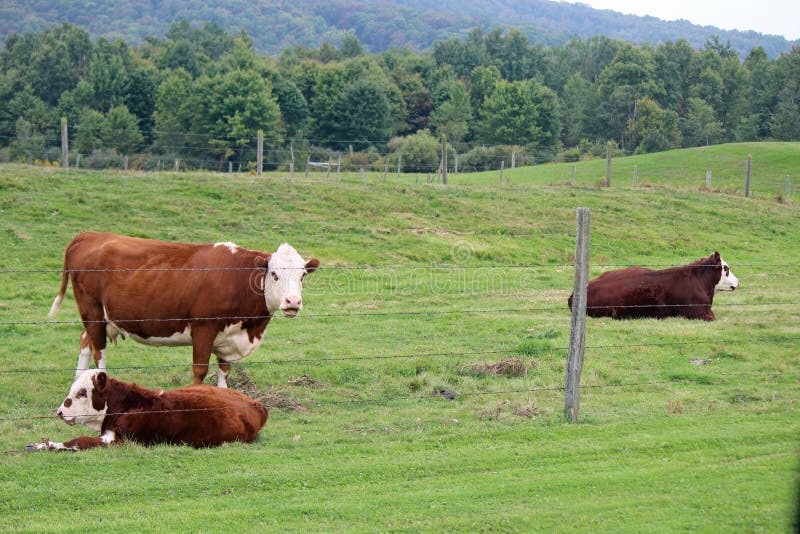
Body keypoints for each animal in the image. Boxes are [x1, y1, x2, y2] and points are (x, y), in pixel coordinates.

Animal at [25, 370, 268, 451]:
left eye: (83, 392)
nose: (59, 412)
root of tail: (256, 404)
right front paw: (40, 444)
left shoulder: (120, 441)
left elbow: (80, 441)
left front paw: (47, 445)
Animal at [48, 232, 319, 387]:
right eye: (274, 274)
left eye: (303, 275)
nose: (292, 302)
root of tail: (90, 234)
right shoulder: (204, 328)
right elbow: (200, 371)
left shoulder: (228, 336)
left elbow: (224, 371)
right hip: (92, 310)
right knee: (99, 351)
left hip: (99, 316)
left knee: (85, 341)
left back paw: (78, 382)